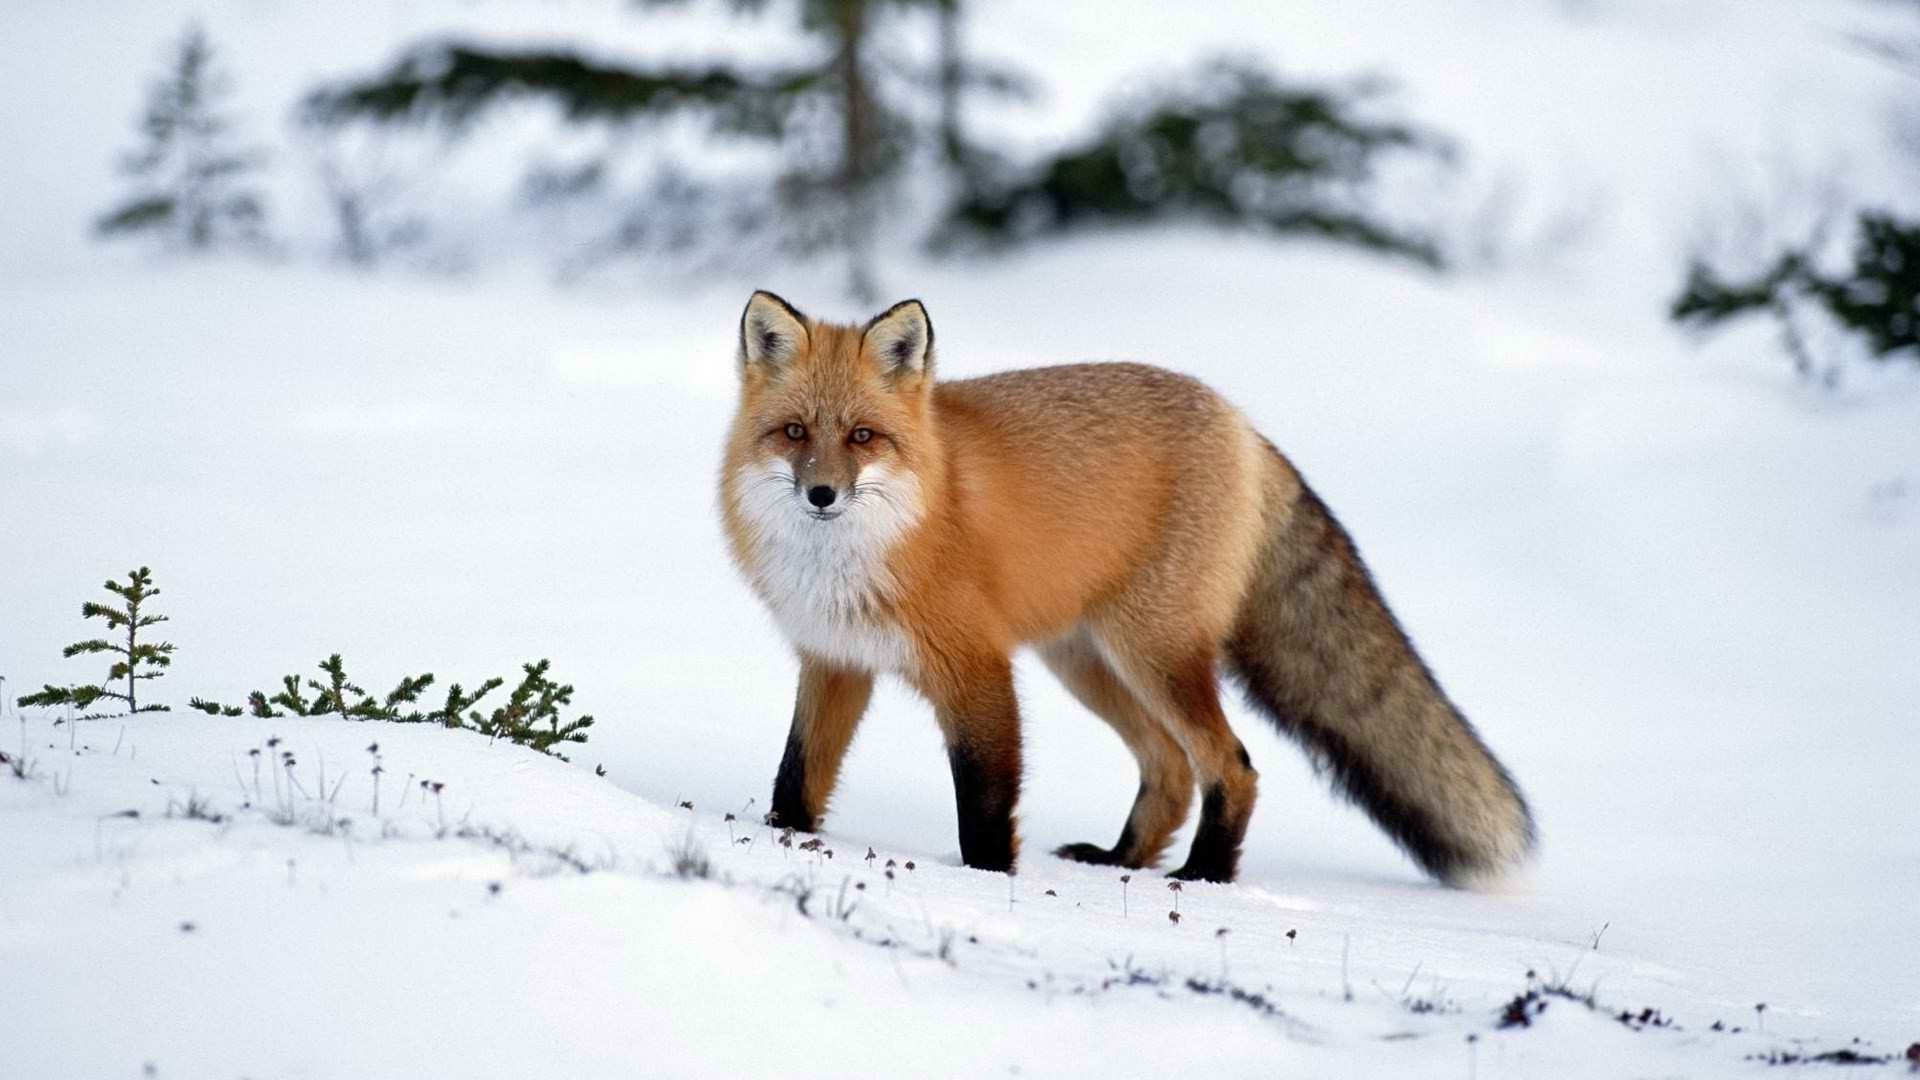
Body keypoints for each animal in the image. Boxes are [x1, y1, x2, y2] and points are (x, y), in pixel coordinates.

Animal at [719, 290, 1535, 885]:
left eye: (863, 437)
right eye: (795, 433)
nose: (822, 494)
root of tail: (1242, 424)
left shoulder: (977, 668)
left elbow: (986, 799)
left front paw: (988, 881)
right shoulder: (836, 660)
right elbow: (796, 777)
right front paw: (781, 841)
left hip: (1153, 653)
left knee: (1231, 764)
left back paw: (1205, 875)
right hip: (1087, 663)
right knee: (1170, 769)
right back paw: (1122, 861)